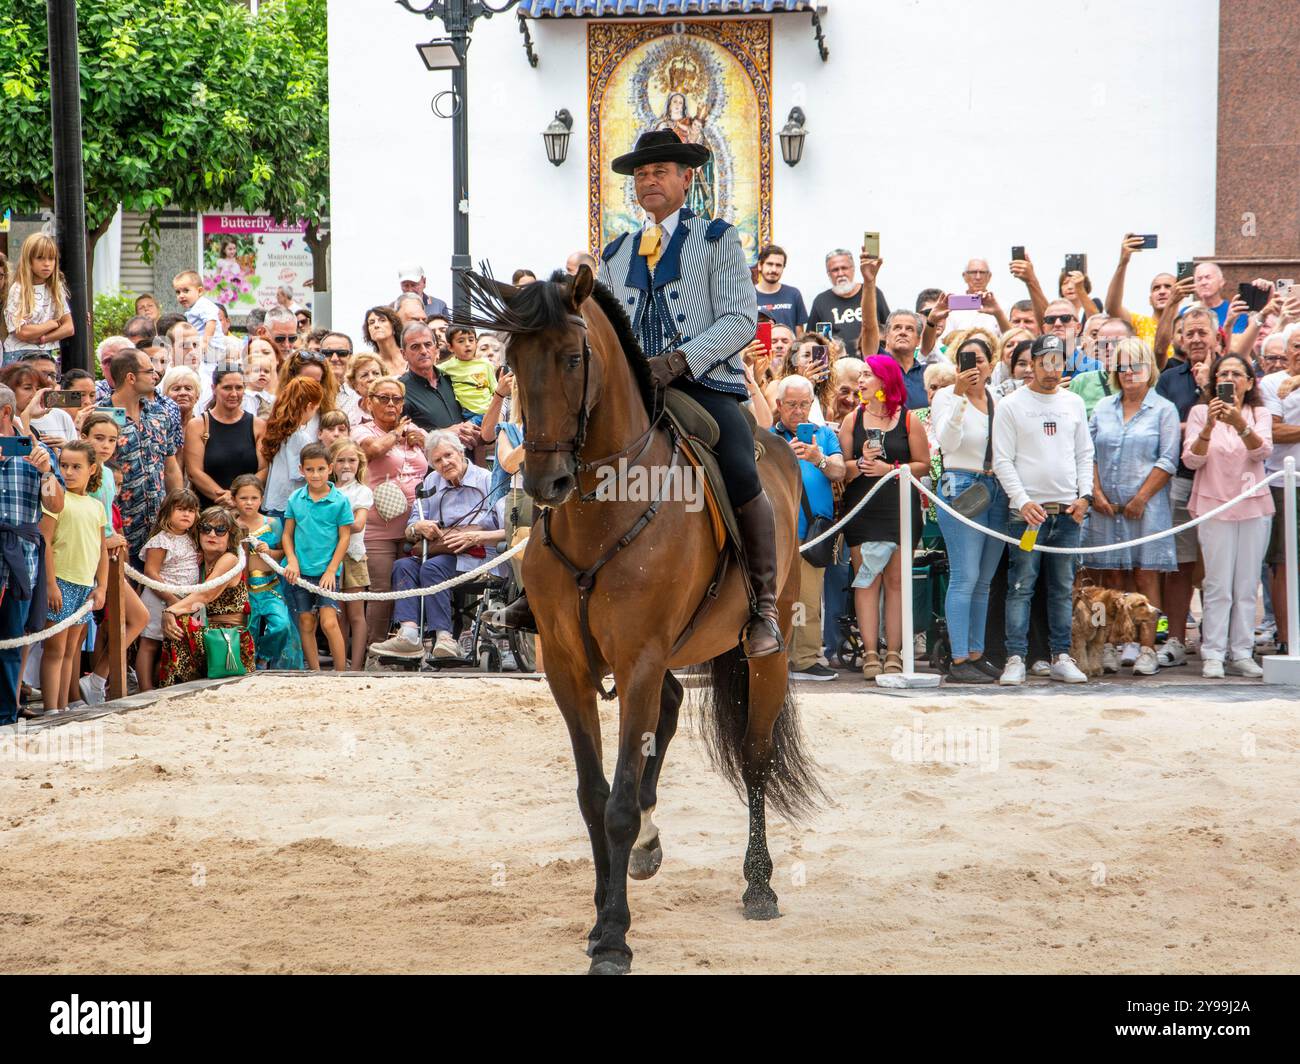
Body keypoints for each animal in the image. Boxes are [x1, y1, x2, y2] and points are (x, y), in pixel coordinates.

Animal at [462, 264, 823, 975]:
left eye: (573, 358)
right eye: (511, 362)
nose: (543, 481)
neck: (602, 507)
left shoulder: (638, 661)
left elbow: (621, 805)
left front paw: (613, 936)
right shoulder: (571, 668)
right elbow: (594, 798)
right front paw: (604, 912)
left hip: (757, 660)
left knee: (755, 757)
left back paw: (759, 884)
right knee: (674, 707)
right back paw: (656, 849)